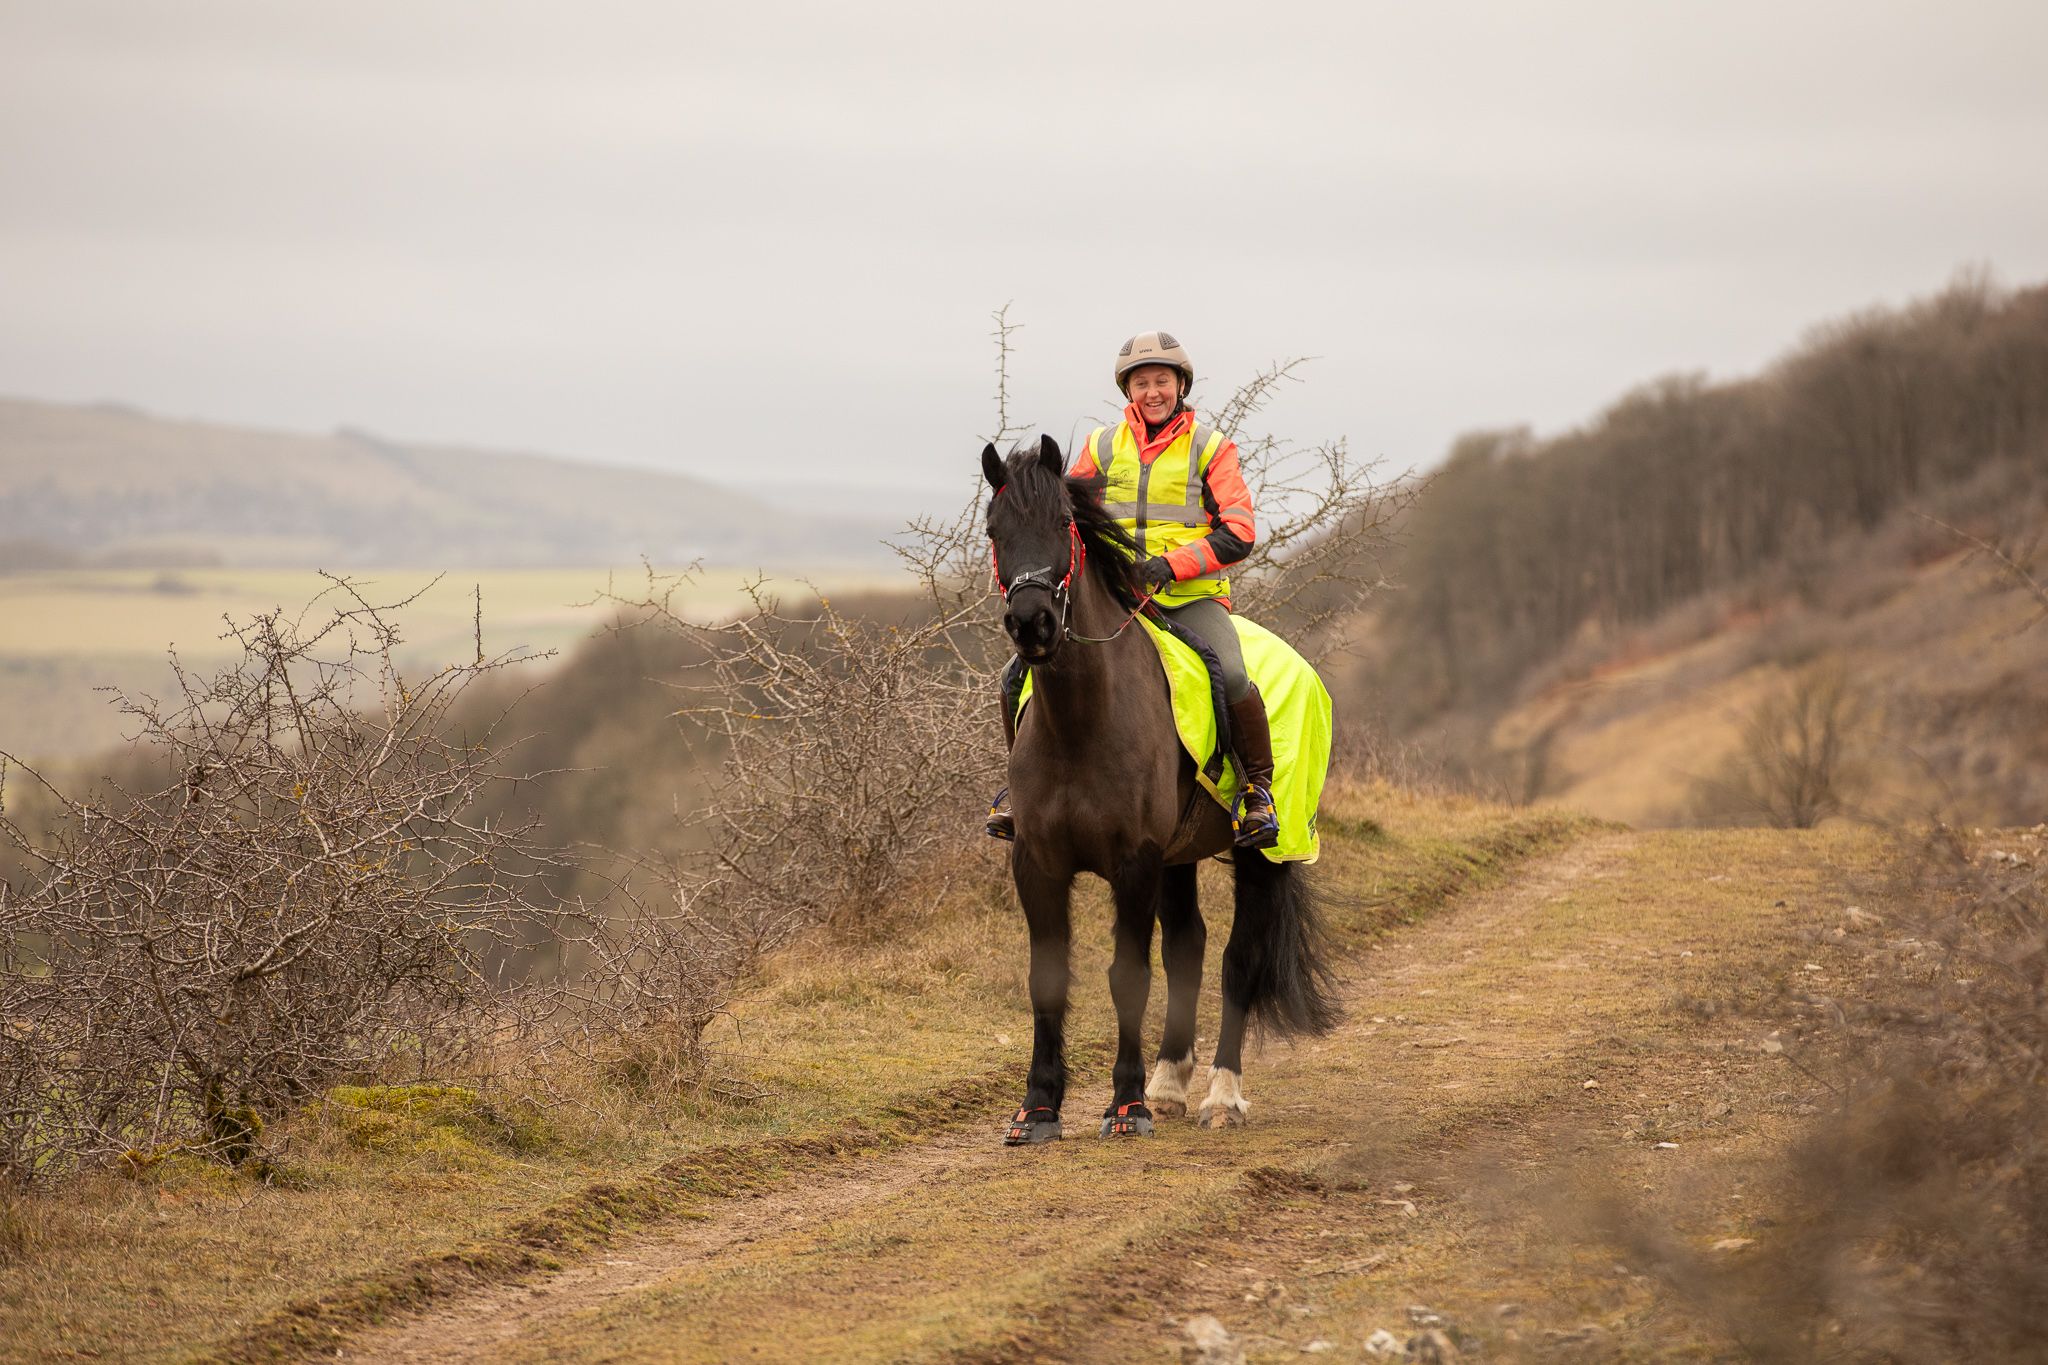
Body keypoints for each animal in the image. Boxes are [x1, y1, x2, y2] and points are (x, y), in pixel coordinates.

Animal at [981, 434, 1339, 1145]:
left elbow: (1128, 976)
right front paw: (1038, 1107)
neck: (1081, 721)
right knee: (1188, 948)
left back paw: (1221, 1097)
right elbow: (1048, 979)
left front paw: (1125, 1105)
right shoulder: (1037, 862)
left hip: (1265, 854)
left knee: (1236, 961)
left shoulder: (1134, 861)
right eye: (994, 531)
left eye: (1062, 523)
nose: (1032, 624)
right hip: (1180, 854)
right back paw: (1170, 1083)